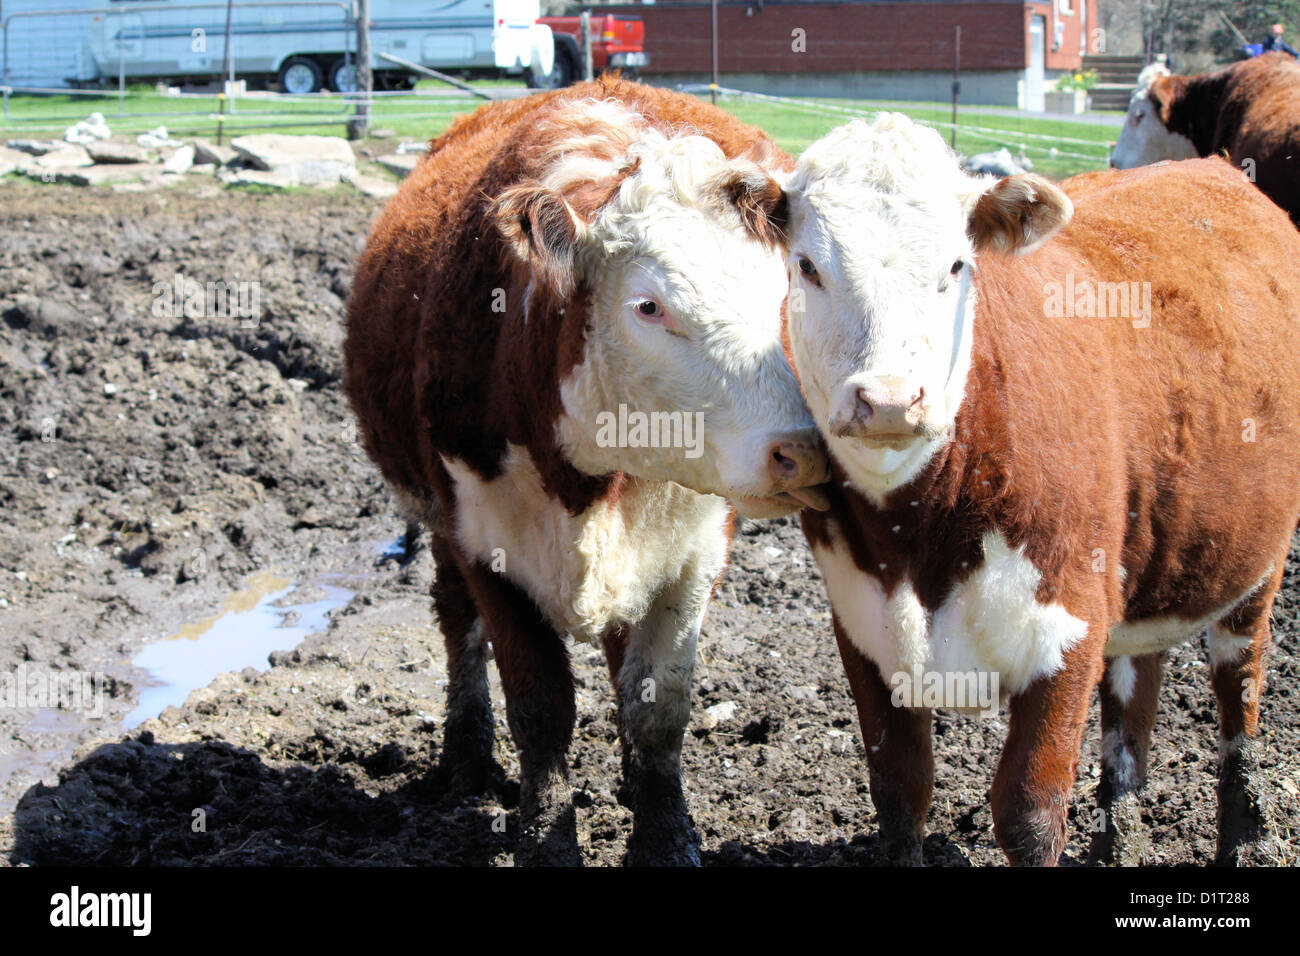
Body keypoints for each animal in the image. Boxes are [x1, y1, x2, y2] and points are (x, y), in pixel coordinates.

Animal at [343, 78, 830, 866]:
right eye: (649, 306)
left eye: (784, 295)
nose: (801, 450)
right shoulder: (483, 540)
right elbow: (540, 708)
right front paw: (547, 842)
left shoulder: (697, 550)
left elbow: (657, 701)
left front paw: (665, 836)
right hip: (439, 528)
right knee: (455, 622)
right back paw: (466, 760)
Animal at [781, 112, 1300, 866]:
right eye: (807, 267)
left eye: (957, 266)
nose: (889, 401)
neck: (917, 535)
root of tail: (1214, 166)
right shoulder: (862, 629)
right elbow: (900, 794)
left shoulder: (1069, 622)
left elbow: (1028, 811)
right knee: (1133, 702)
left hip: (1256, 567)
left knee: (1240, 689)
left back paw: (1244, 836)